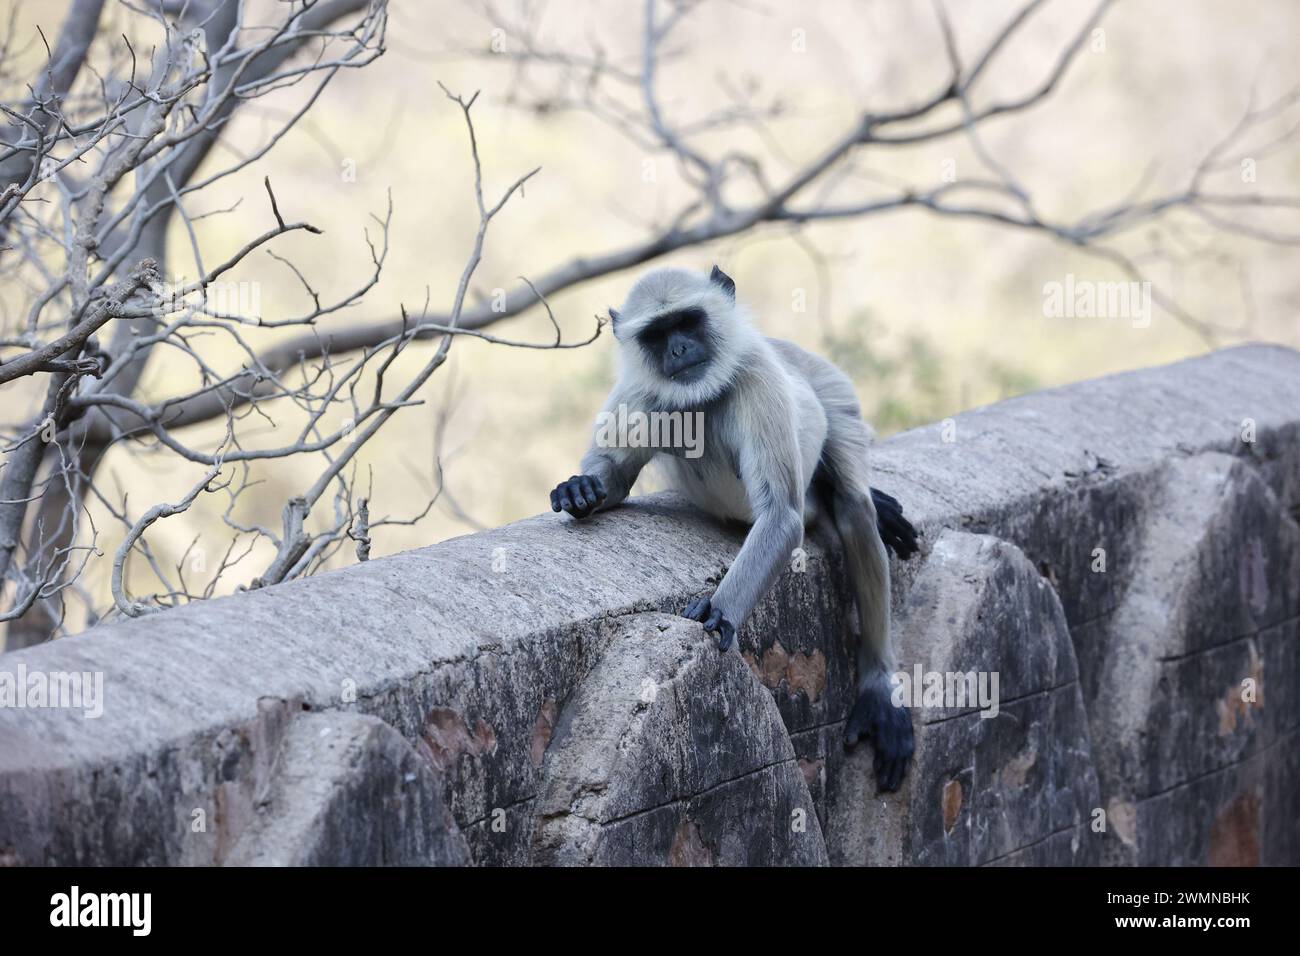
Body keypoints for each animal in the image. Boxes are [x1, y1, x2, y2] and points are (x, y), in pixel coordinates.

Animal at [549, 266, 919, 792]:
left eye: (688, 321)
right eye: (657, 335)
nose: (679, 350)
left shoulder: (758, 378)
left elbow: (780, 516)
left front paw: (718, 610)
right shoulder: (640, 393)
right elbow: (615, 481)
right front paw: (582, 489)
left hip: (831, 389)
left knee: (849, 504)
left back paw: (879, 685)